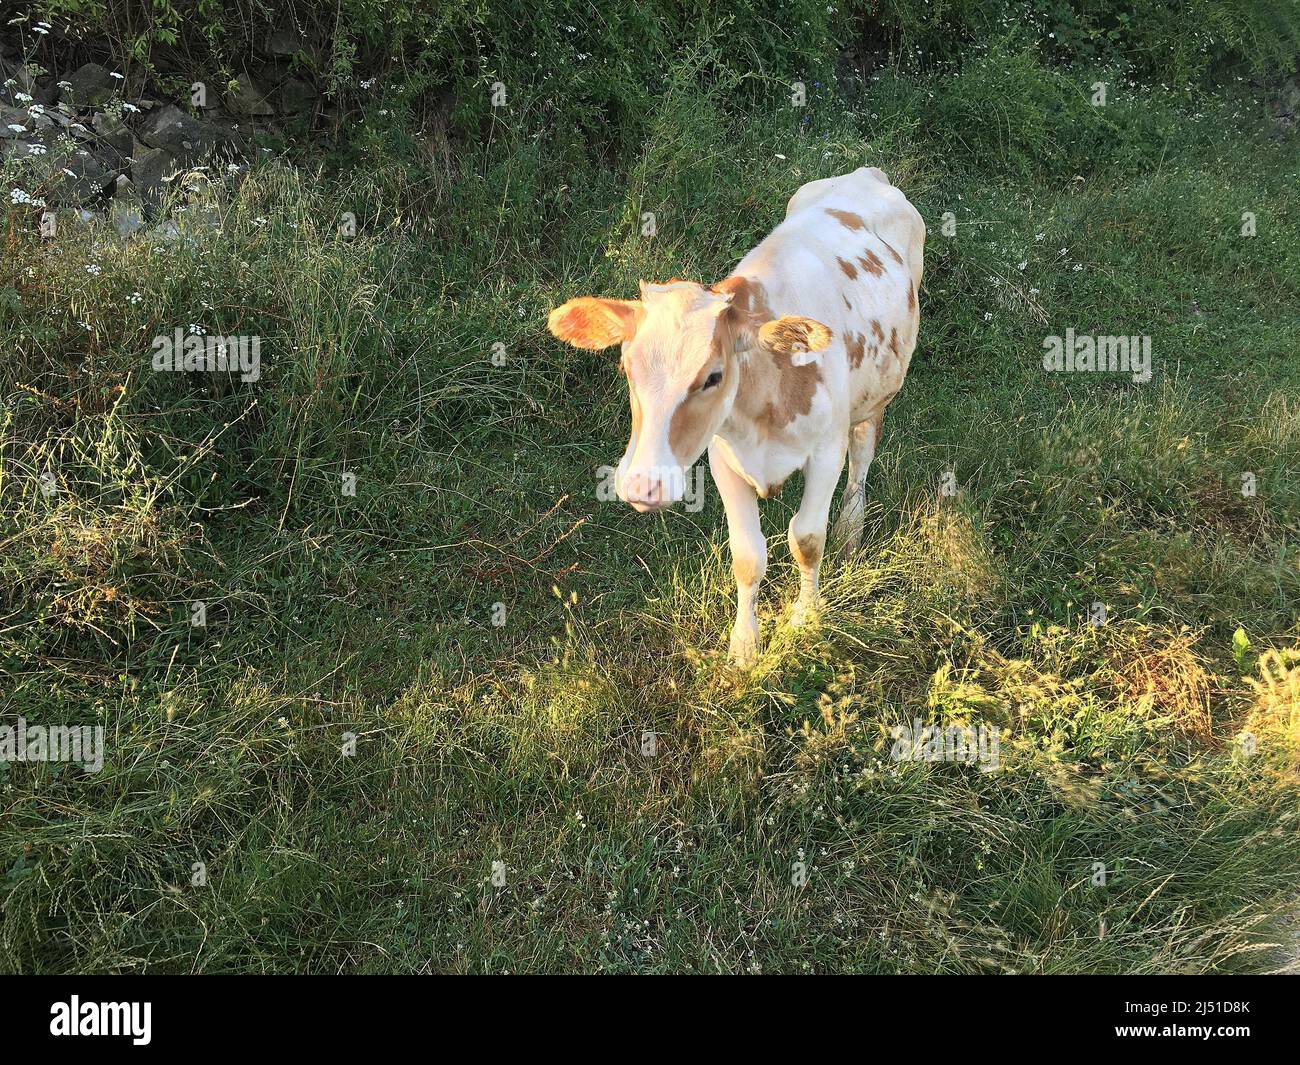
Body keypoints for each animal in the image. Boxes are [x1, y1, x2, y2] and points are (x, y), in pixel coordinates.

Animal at [547, 166, 925, 664]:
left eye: (713, 376)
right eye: (626, 367)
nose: (643, 485)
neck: (767, 401)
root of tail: (866, 173)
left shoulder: (826, 451)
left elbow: (807, 538)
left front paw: (807, 617)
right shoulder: (723, 459)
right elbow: (748, 556)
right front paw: (744, 647)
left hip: (874, 397)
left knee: (862, 454)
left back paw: (850, 528)